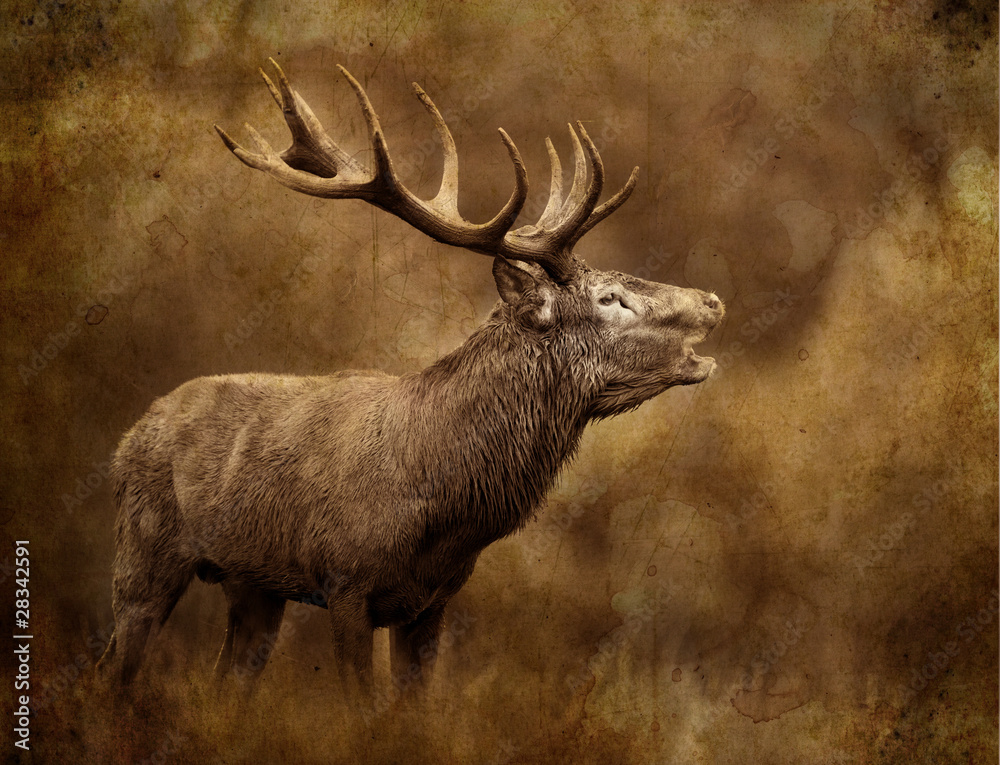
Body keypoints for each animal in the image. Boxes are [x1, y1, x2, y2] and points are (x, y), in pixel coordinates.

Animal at [97, 59, 724, 697]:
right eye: (609, 298)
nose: (711, 300)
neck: (440, 506)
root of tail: (128, 438)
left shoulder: (433, 601)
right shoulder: (345, 582)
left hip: (252, 585)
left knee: (226, 680)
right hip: (144, 550)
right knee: (112, 672)